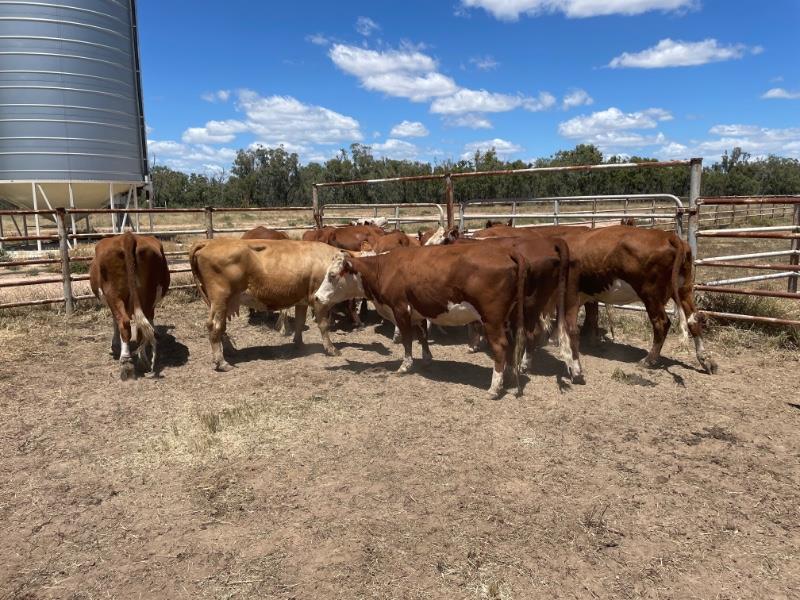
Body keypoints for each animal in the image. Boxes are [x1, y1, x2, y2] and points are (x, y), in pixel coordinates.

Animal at [89, 232, 170, 380]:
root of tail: (127, 236)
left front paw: (115, 345)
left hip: (113, 293)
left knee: (124, 322)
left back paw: (126, 361)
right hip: (146, 294)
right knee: (139, 326)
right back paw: (142, 360)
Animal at [189, 238, 347, 371]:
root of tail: (208, 242)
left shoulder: (302, 300)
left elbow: (300, 322)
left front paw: (299, 344)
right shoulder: (318, 298)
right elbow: (323, 325)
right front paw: (332, 349)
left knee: (221, 327)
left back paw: (230, 351)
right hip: (221, 298)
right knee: (215, 326)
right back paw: (221, 362)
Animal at [314, 243, 581, 398]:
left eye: (332, 275)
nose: (316, 296)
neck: (384, 268)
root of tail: (508, 251)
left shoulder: (401, 309)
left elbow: (407, 340)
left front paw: (405, 366)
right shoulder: (418, 310)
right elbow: (422, 336)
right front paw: (427, 359)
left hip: (493, 318)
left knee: (501, 346)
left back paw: (494, 387)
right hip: (513, 315)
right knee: (515, 344)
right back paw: (507, 376)